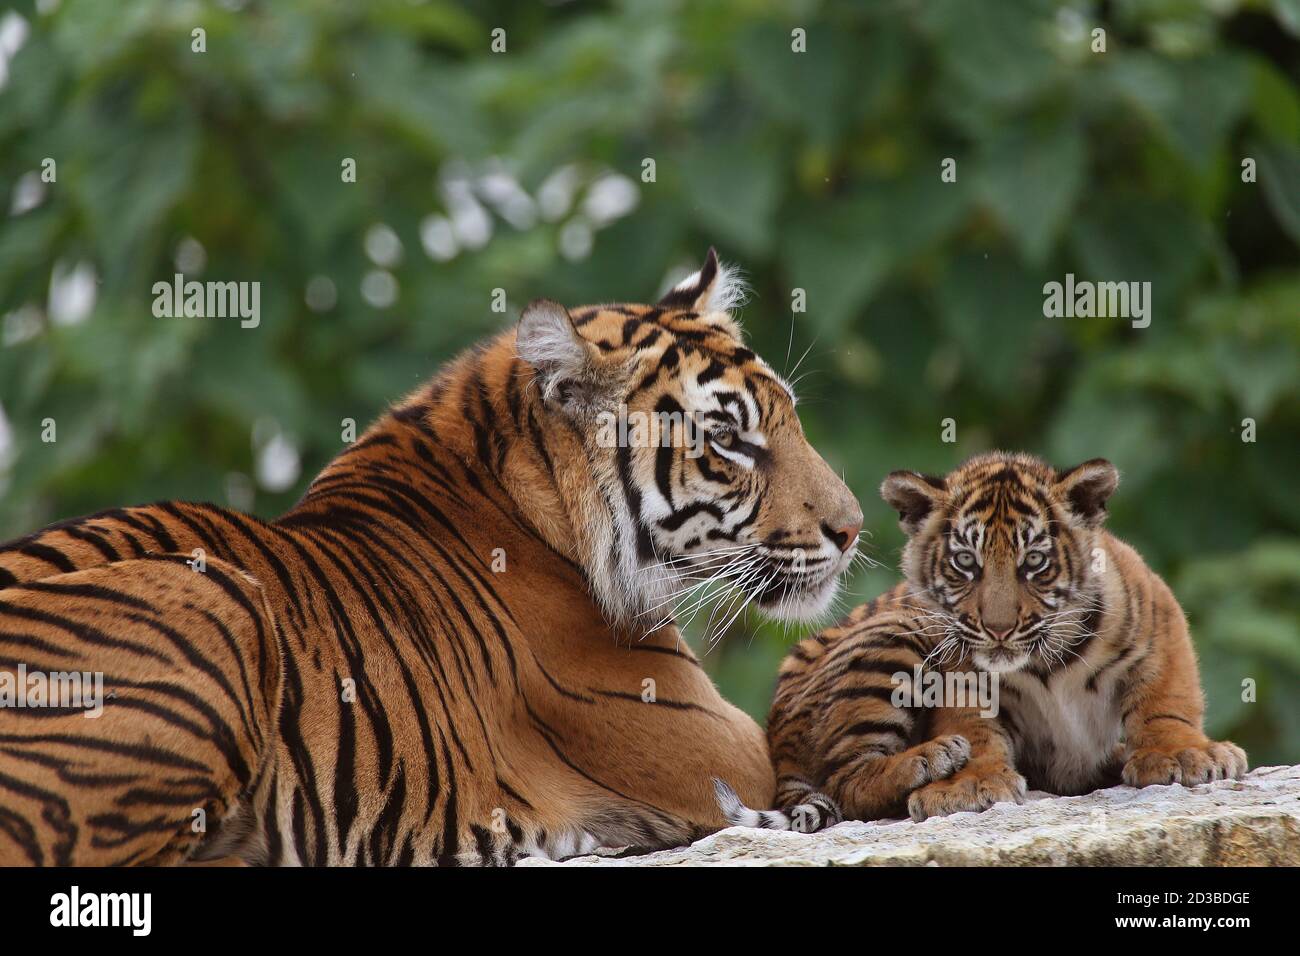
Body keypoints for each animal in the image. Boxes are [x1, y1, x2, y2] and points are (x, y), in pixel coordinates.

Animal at [716, 451, 1246, 832]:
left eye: (1034, 562)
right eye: (965, 562)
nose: (998, 628)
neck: (1043, 662)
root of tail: (774, 732)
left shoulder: (1156, 613)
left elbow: (1167, 699)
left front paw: (1181, 754)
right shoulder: (954, 664)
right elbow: (973, 725)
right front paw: (968, 785)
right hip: (894, 637)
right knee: (846, 780)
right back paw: (929, 759)